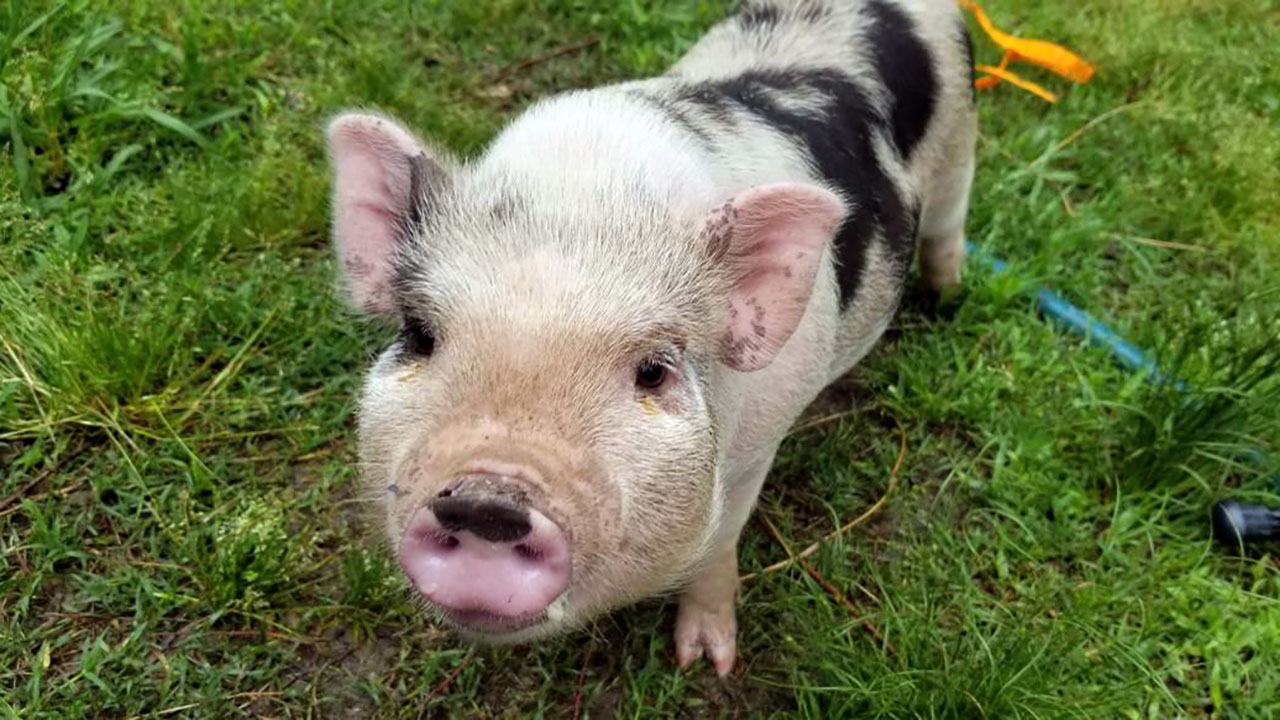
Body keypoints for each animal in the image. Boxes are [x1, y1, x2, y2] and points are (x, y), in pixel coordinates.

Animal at [325, 0, 976, 676]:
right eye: (420, 334)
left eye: (653, 371)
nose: (487, 498)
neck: (586, 190)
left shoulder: (758, 444)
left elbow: (719, 545)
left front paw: (705, 664)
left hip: (962, 150)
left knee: (948, 225)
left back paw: (948, 297)